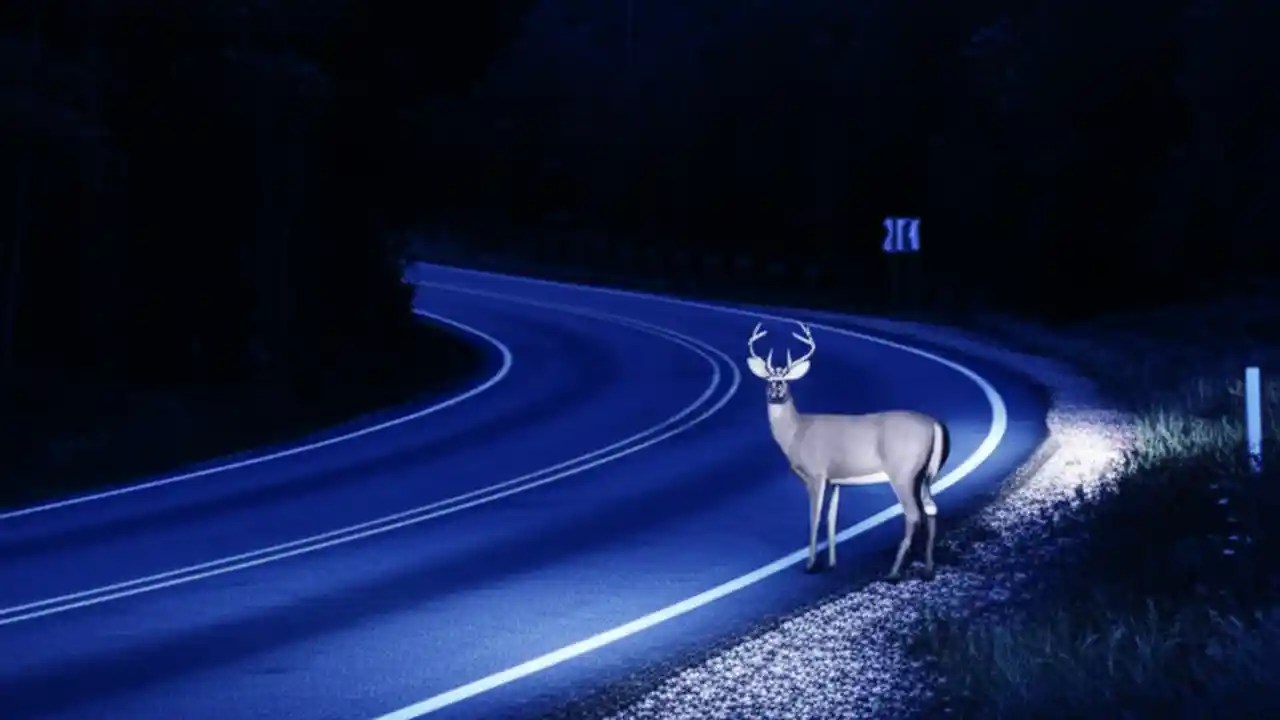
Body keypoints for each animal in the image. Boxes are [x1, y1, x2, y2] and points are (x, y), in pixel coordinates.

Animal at [746, 321, 950, 582]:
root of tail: (935, 424)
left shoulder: (816, 473)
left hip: (903, 471)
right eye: (768, 381)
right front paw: (832, 563)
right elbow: (832, 518)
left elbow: (814, 517)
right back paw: (928, 569)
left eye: (786, 381)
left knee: (914, 513)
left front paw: (811, 564)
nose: (775, 394)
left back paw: (894, 571)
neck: (796, 432)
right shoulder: (836, 480)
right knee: (932, 507)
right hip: (926, 475)